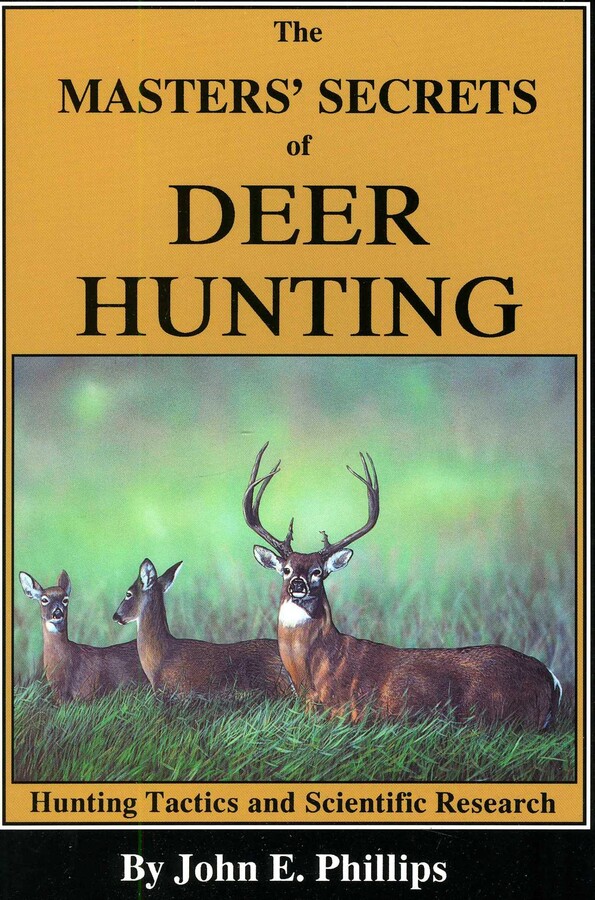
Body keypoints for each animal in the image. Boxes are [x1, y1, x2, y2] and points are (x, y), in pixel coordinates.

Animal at [244, 444, 563, 729]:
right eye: (286, 570)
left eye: (318, 573)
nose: (298, 584)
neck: (314, 672)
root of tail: (550, 677)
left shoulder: (349, 712)